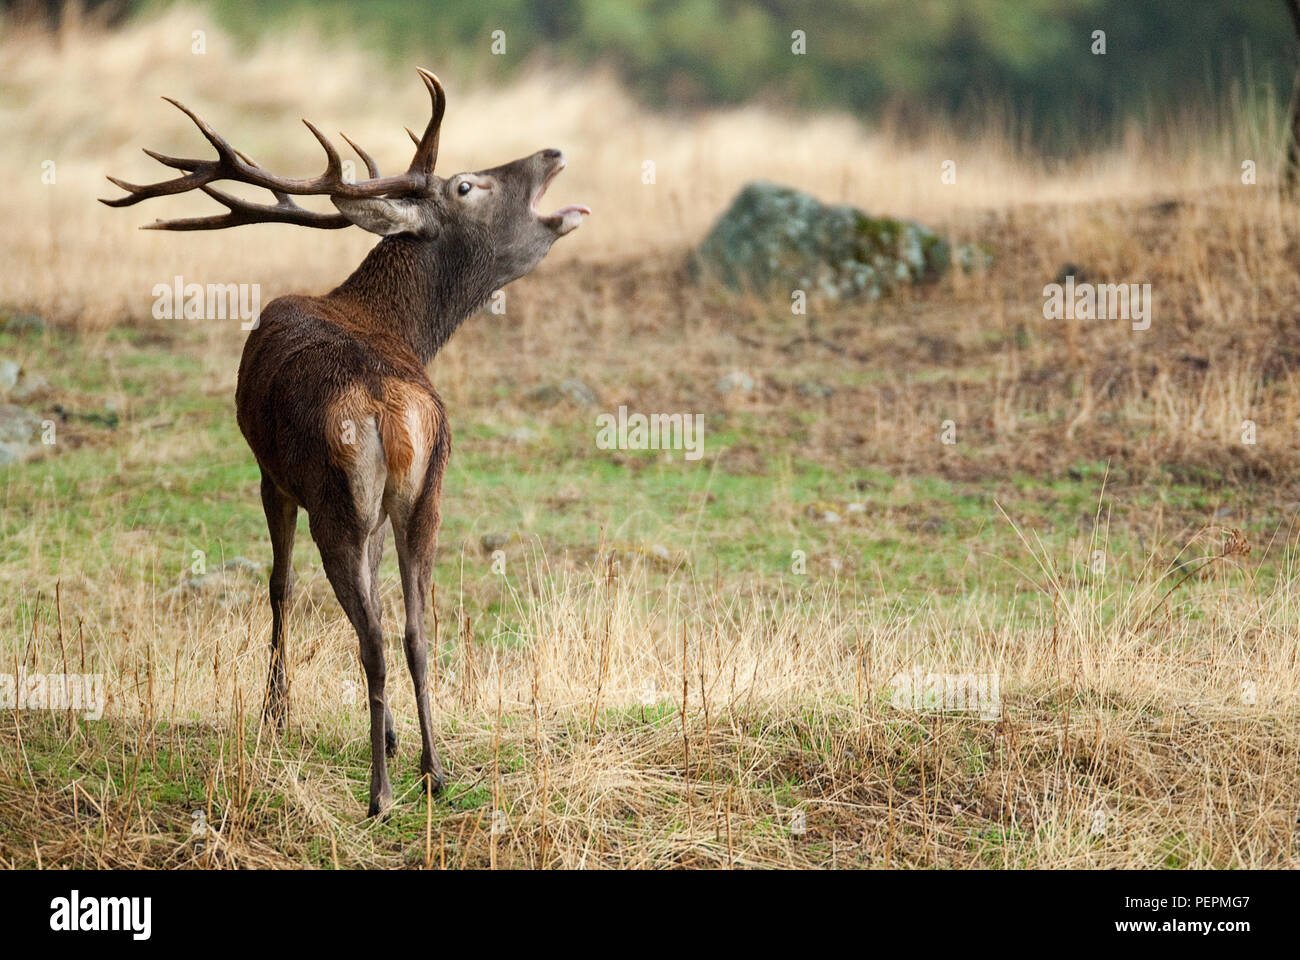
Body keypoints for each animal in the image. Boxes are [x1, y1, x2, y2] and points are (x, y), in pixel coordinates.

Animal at [101, 69, 589, 816]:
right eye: (467, 185)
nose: (552, 151)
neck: (398, 324)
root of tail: (388, 407)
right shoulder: (384, 507)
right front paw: (386, 735)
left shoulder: (270, 473)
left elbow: (279, 584)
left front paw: (276, 713)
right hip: (426, 498)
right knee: (413, 631)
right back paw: (433, 769)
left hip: (334, 501)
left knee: (372, 636)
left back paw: (380, 793)